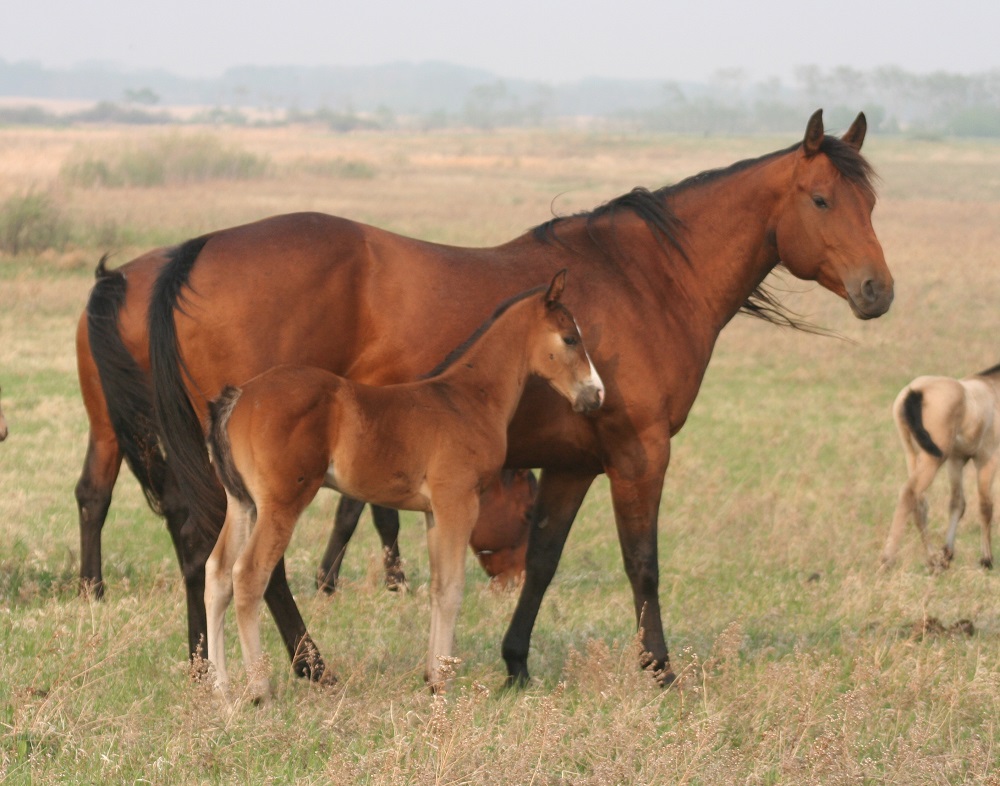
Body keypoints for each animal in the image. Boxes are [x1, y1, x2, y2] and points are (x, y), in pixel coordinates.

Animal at [880, 365, 1000, 571]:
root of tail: (916, 391)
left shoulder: (956, 460)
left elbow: (957, 503)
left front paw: (947, 553)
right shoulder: (987, 458)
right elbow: (985, 506)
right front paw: (986, 559)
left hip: (913, 455)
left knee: (919, 502)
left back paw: (932, 559)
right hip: (933, 459)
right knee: (909, 493)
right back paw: (889, 559)